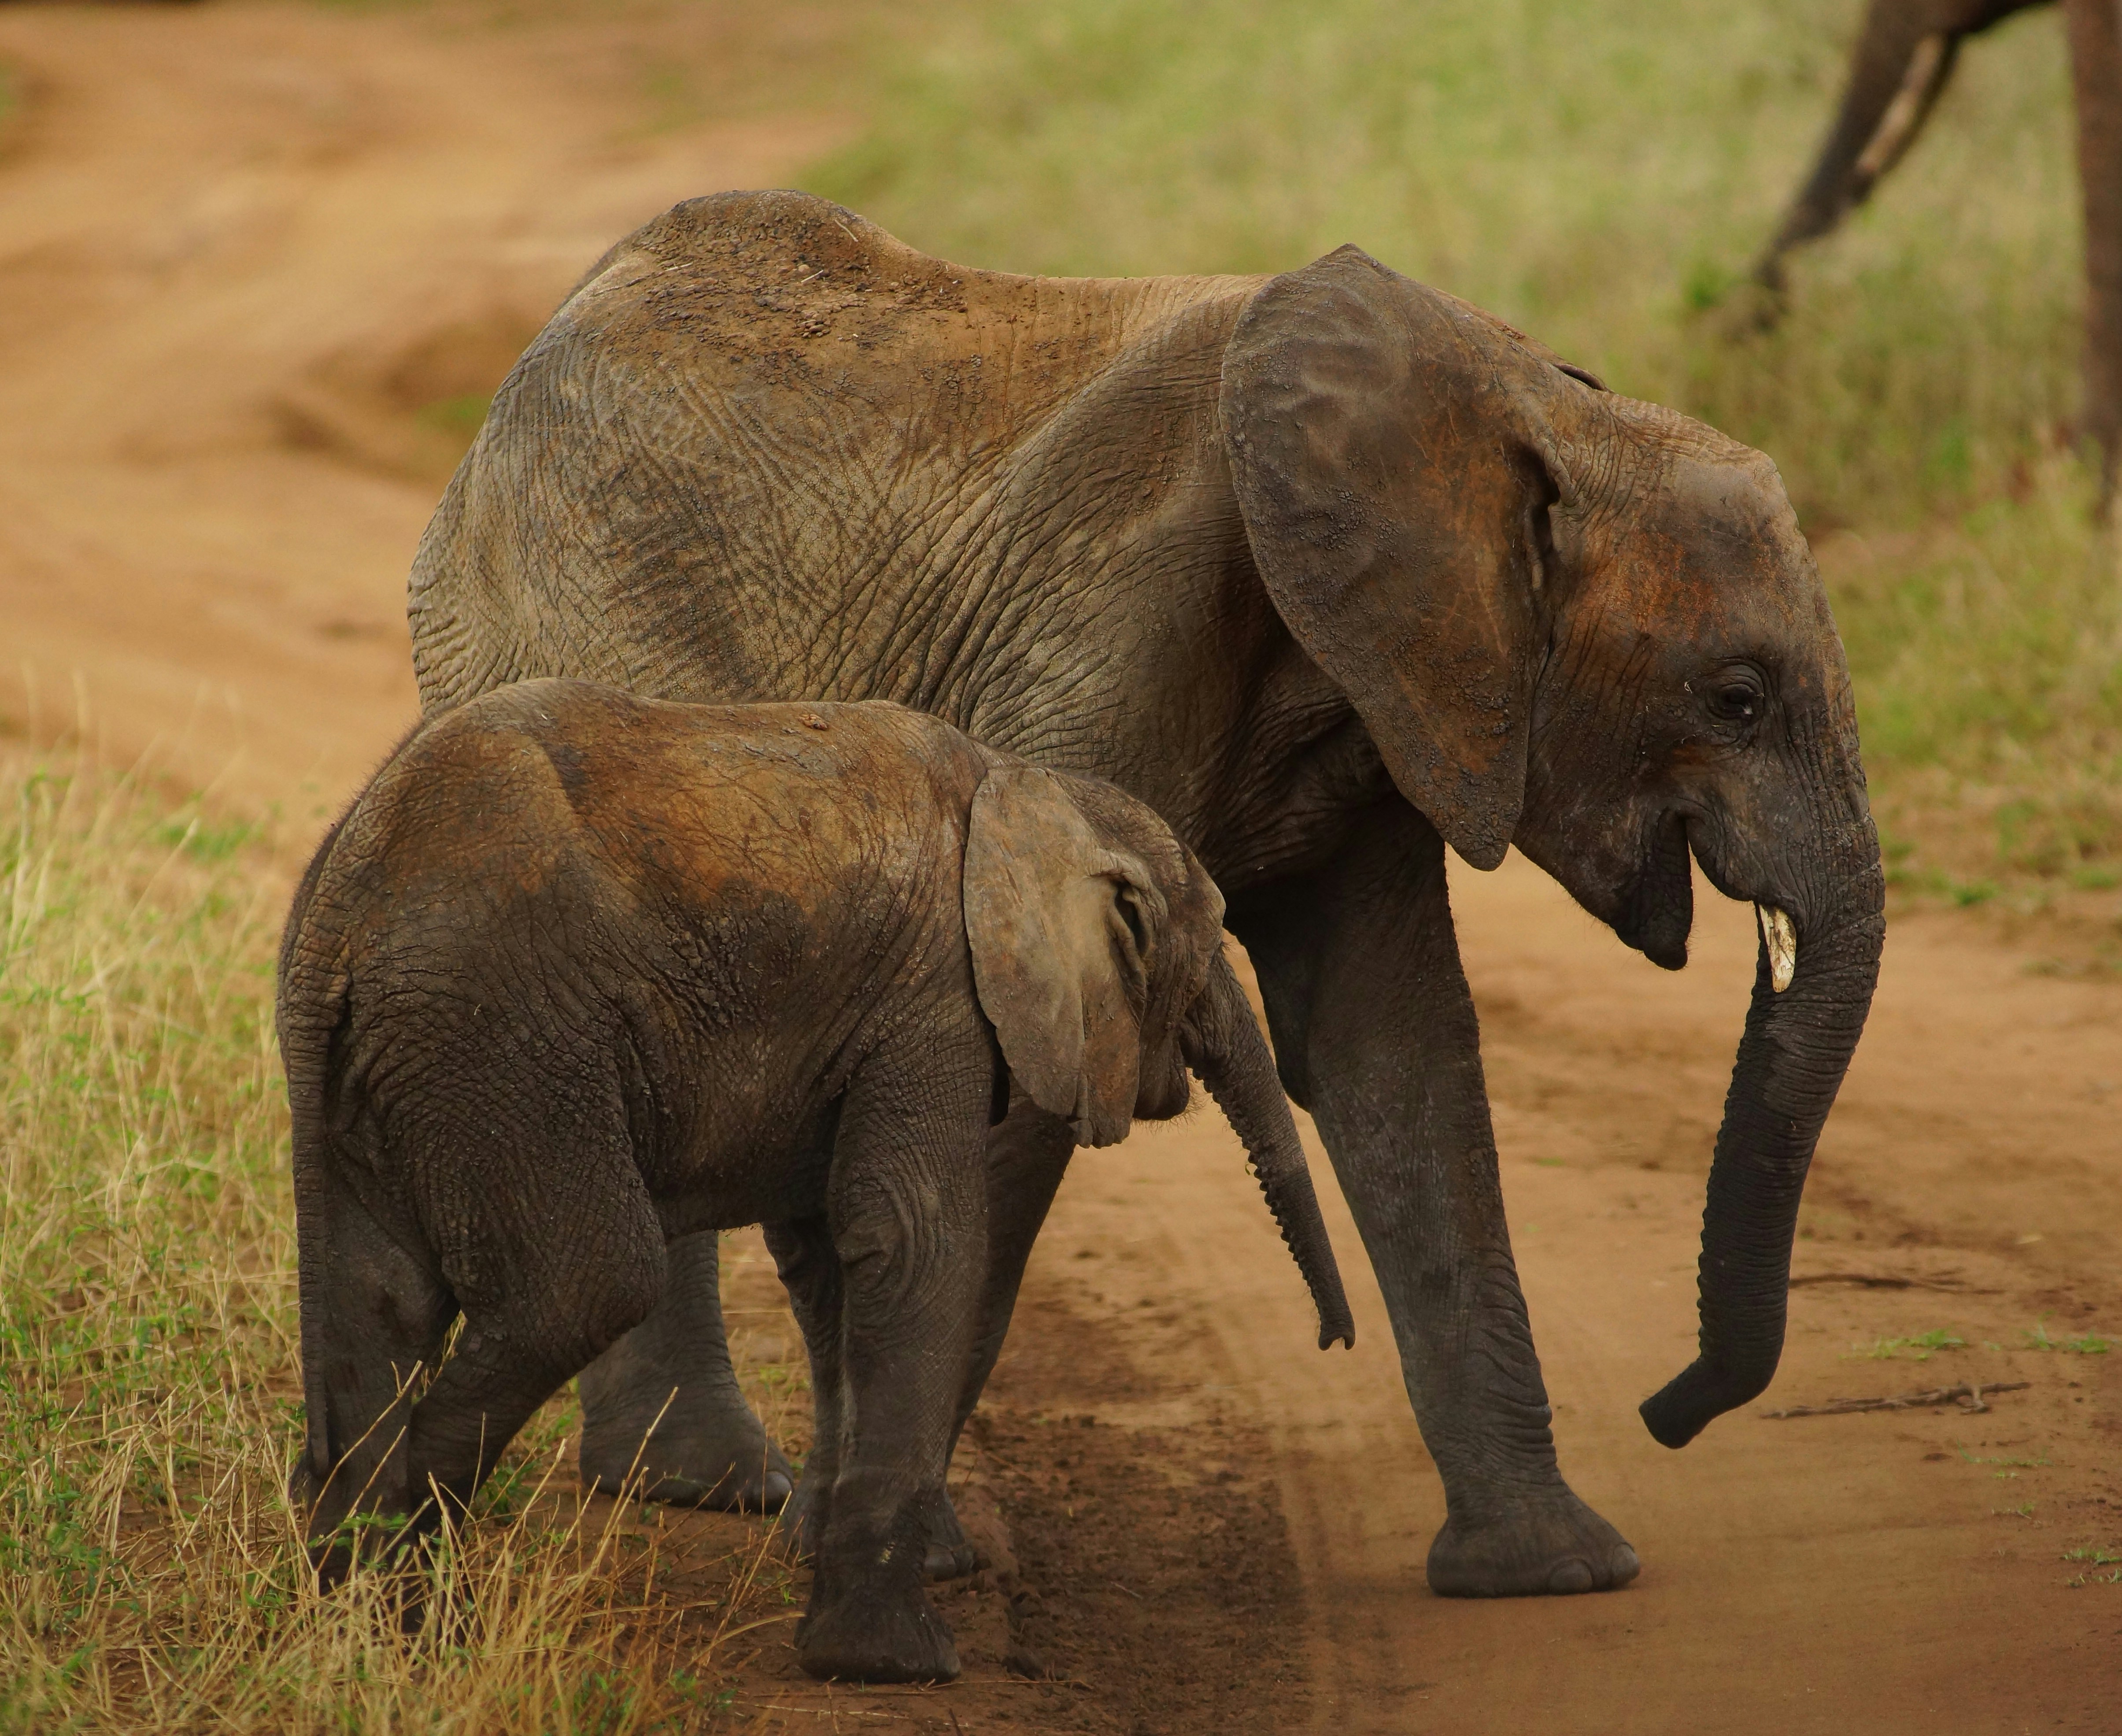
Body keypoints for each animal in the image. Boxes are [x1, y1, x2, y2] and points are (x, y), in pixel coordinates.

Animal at [276, 678, 1354, 1684]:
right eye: (1209, 939)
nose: (1335, 1342)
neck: (1031, 791)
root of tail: (343, 908)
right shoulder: (937, 999)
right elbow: (917, 1243)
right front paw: (893, 1665)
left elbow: (834, 1259)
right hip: (504, 1044)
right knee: (592, 1282)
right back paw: (402, 1575)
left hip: (386, 1070)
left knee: (381, 1296)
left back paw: (360, 1609)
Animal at [404, 190, 1886, 1599]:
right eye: (1735, 697)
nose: (1667, 1410)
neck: (1517, 402)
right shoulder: (1112, 622)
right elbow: (1020, 1059)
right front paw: (908, 1564)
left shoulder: (1393, 702)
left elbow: (1396, 1053)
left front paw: (1550, 1571)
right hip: (535, 645)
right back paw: (714, 1486)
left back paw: (692, 1484)